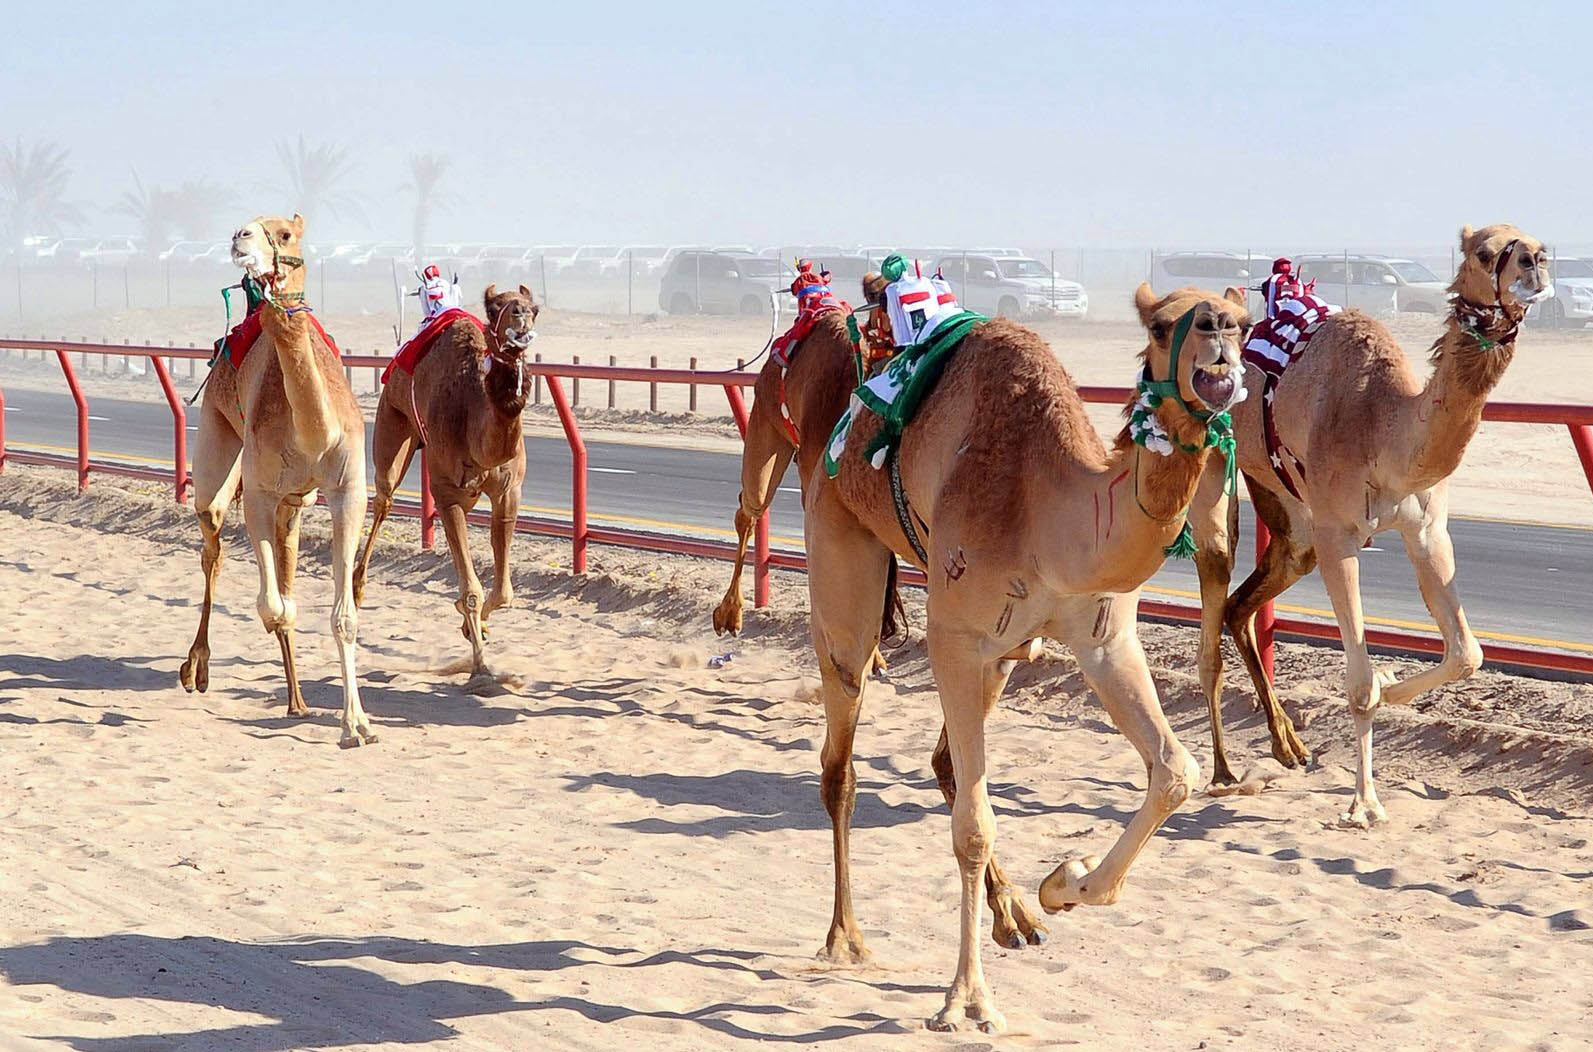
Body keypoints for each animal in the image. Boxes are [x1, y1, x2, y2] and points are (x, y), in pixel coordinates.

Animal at [178, 213, 377, 748]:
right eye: (245, 228)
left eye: (286, 233)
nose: (240, 238)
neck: (312, 433)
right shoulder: (261, 495)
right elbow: (274, 606)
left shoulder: (348, 491)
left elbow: (343, 617)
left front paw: (356, 724)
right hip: (217, 438)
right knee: (212, 539)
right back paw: (196, 666)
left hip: (297, 501)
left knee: (281, 556)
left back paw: (297, 700)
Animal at [353, 284, 538, 684]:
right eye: (495, 308)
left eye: (535, 308)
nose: (520, 316)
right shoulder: (446, 491)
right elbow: (471, 590)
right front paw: (481, 670)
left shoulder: (508, 492)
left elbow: (503, 592)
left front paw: (476, 628)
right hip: (392, 421)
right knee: (383, 498)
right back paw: (356, 587)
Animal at [803, 283, 1248, 1032]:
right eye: (1161, 327)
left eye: (1244, 324)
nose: (1215, 329)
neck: (1046, 507)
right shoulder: (953, 636)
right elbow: (972, 828)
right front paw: (966, 1000)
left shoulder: (1103, 638)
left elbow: (1173, 772)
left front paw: (1064, 883)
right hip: (840, 548)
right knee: (841, 755)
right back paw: (845, 938)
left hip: (1007, 652)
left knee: (946, 761)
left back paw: (1013, 915)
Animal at [1189, 224, 1551, 826]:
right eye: (1483, 251)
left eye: (1539, 243)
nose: (1535, 265)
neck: (1385, 425)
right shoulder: (1340, 534)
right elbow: (1358, 684)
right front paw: (1364, 804)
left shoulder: (1427, 530)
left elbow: (1466, 653)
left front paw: (1390, 683)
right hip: (1212, 464)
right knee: (1213, 602)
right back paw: (1221, 770)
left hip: (1290, 517)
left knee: (1246, 602)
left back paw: (1288, 745)